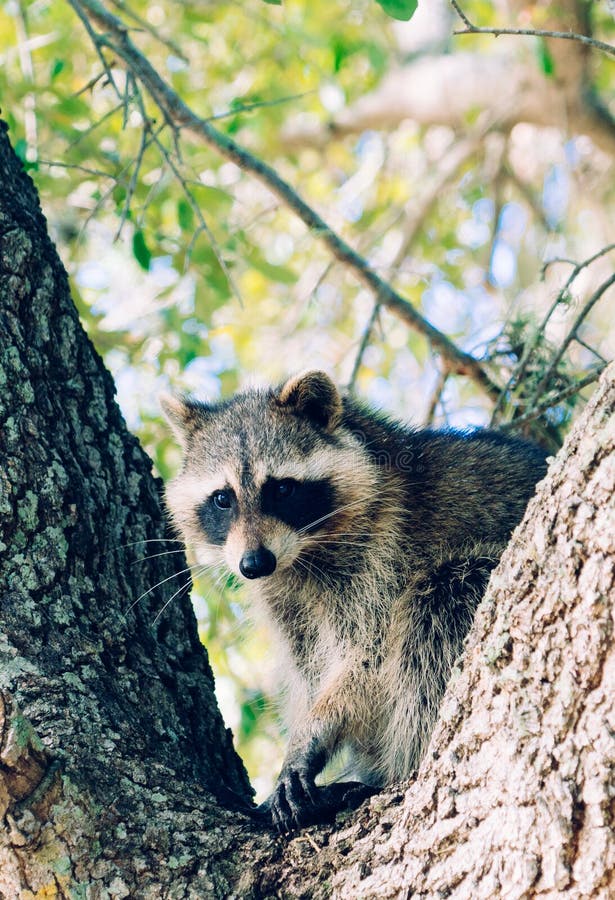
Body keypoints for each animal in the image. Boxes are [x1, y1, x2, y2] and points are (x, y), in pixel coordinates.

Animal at [162, 370, 547, 832]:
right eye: (223, 498)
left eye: (282, 489)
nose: (254, 563)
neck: (302, 554)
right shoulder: (287, 599)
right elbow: (310, 670)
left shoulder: (386, 553)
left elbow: (368, 660)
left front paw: (314, 732)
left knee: (440, 606)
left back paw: (397, 767)